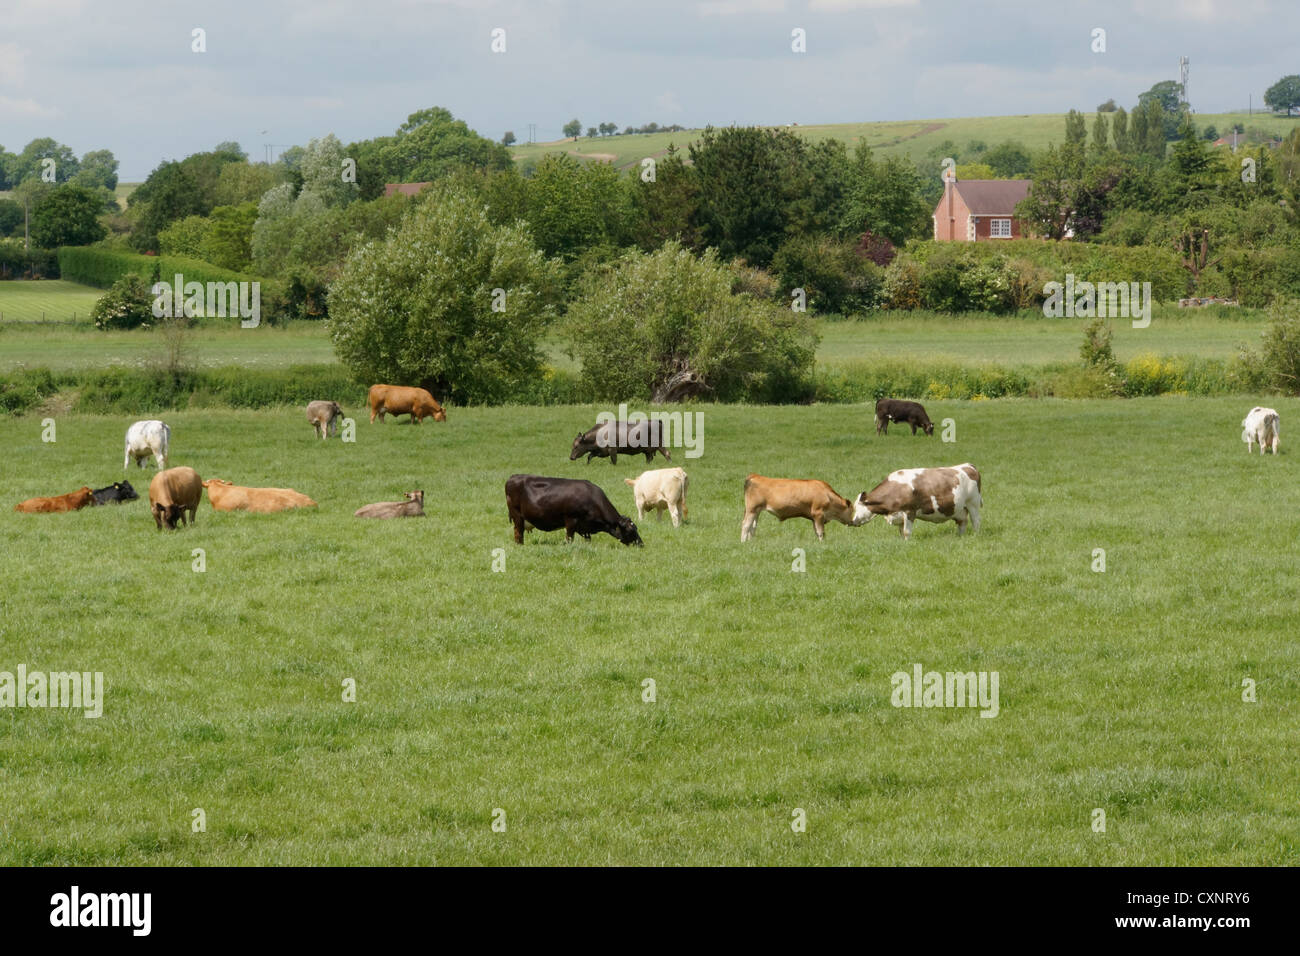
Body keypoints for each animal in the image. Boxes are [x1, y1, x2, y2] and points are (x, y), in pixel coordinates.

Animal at [506, 475, 642, 546]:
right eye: (630, 530)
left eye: (636, 528)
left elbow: (587, 539)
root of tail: (513, 477)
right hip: (517, 516)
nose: (641, 544)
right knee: (518, 533)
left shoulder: (585, 527)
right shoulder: (571, 519)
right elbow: (569, 538)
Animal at [740, 474, 869, 542]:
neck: (828, 495)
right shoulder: (818, 514)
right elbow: (821, 531)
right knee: (746, 525)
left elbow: (817, 531)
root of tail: (755, 476)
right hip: (752, 509)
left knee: (753, 526)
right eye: (851, 510)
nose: (854, 522)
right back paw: (743, 542)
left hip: (756, 511)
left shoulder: (814, 517)